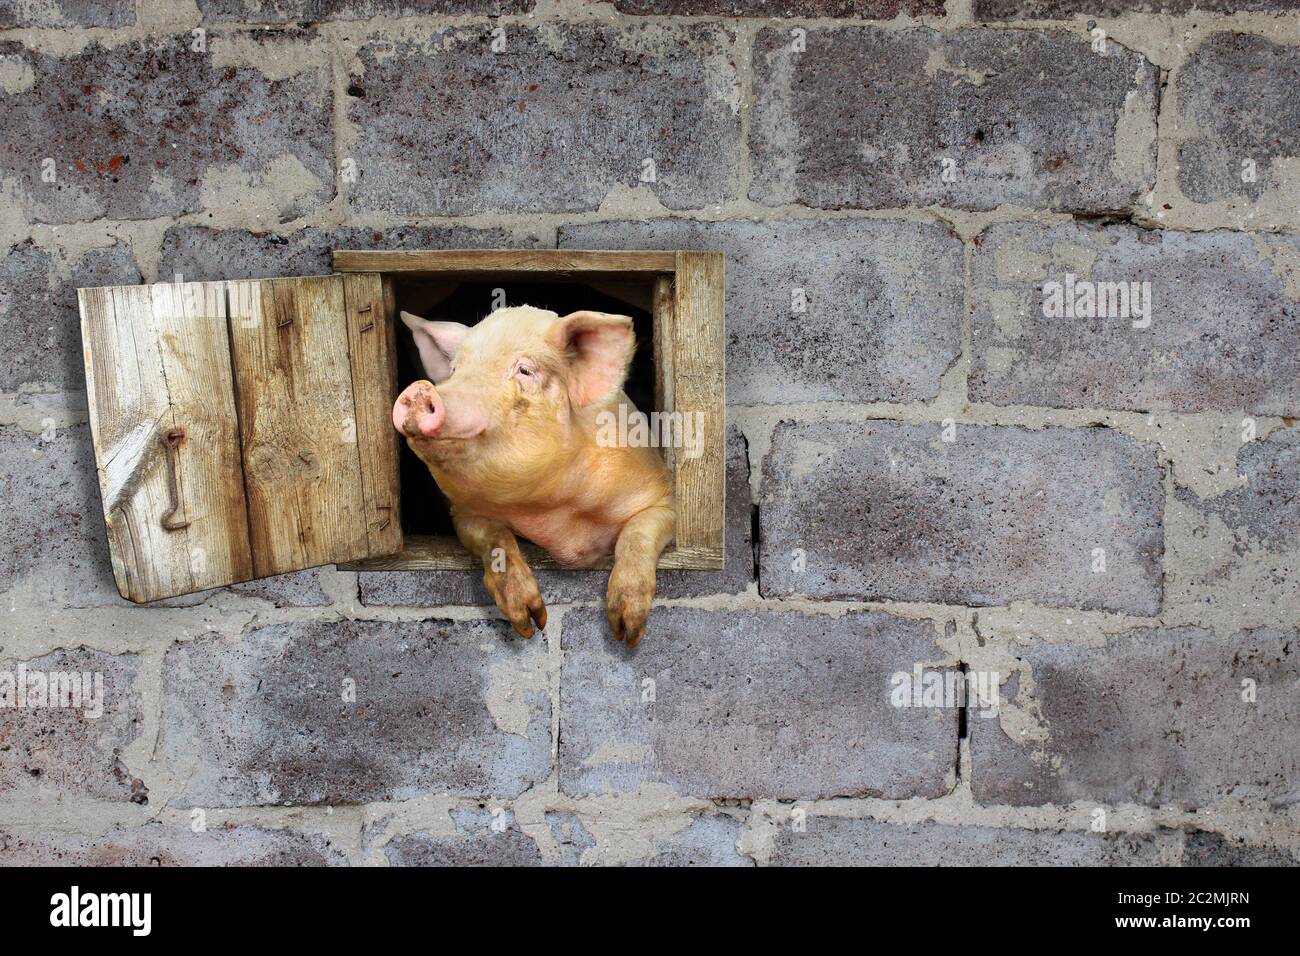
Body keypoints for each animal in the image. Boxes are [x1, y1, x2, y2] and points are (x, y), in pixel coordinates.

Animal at [392, 306, 675, 647]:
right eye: (455, 369)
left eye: (525, 370)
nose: (420, 389)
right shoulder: (463, 513)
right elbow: (493, 538)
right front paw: (531, 623)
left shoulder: (662, 496)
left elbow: (638, 534)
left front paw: (627, 633)